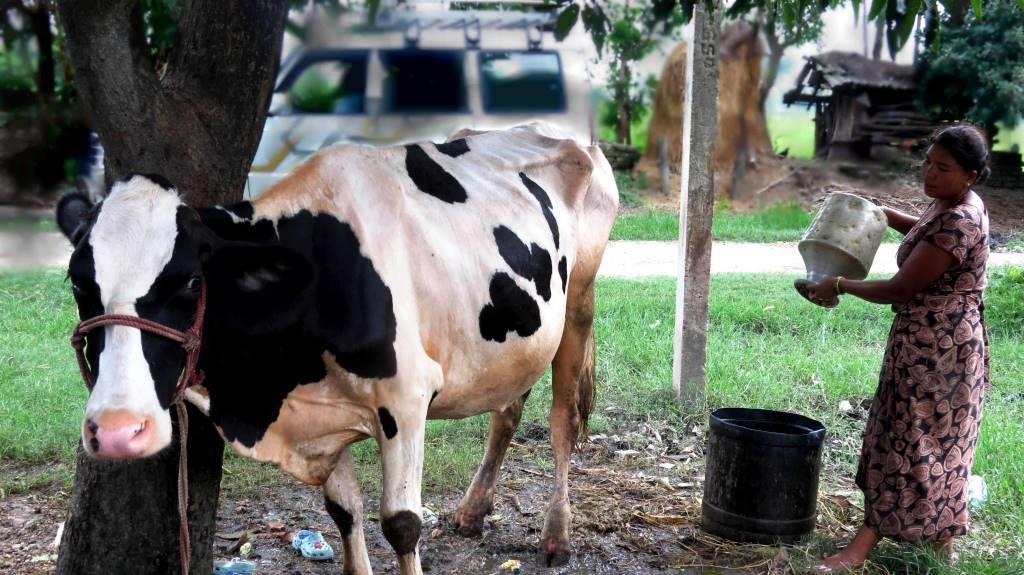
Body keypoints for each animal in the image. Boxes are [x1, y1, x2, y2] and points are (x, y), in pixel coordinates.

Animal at [55, 123, 619, 574]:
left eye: (193, 282)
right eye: (78, 284)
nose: (118, 430)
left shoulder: (406, 399)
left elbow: (402, 524)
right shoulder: (324, 413)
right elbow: (344, 511)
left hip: (579, 303)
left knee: (563, 421)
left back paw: (556, 536)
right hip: (519, 335)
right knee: (507, 410)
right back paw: (473, 510)